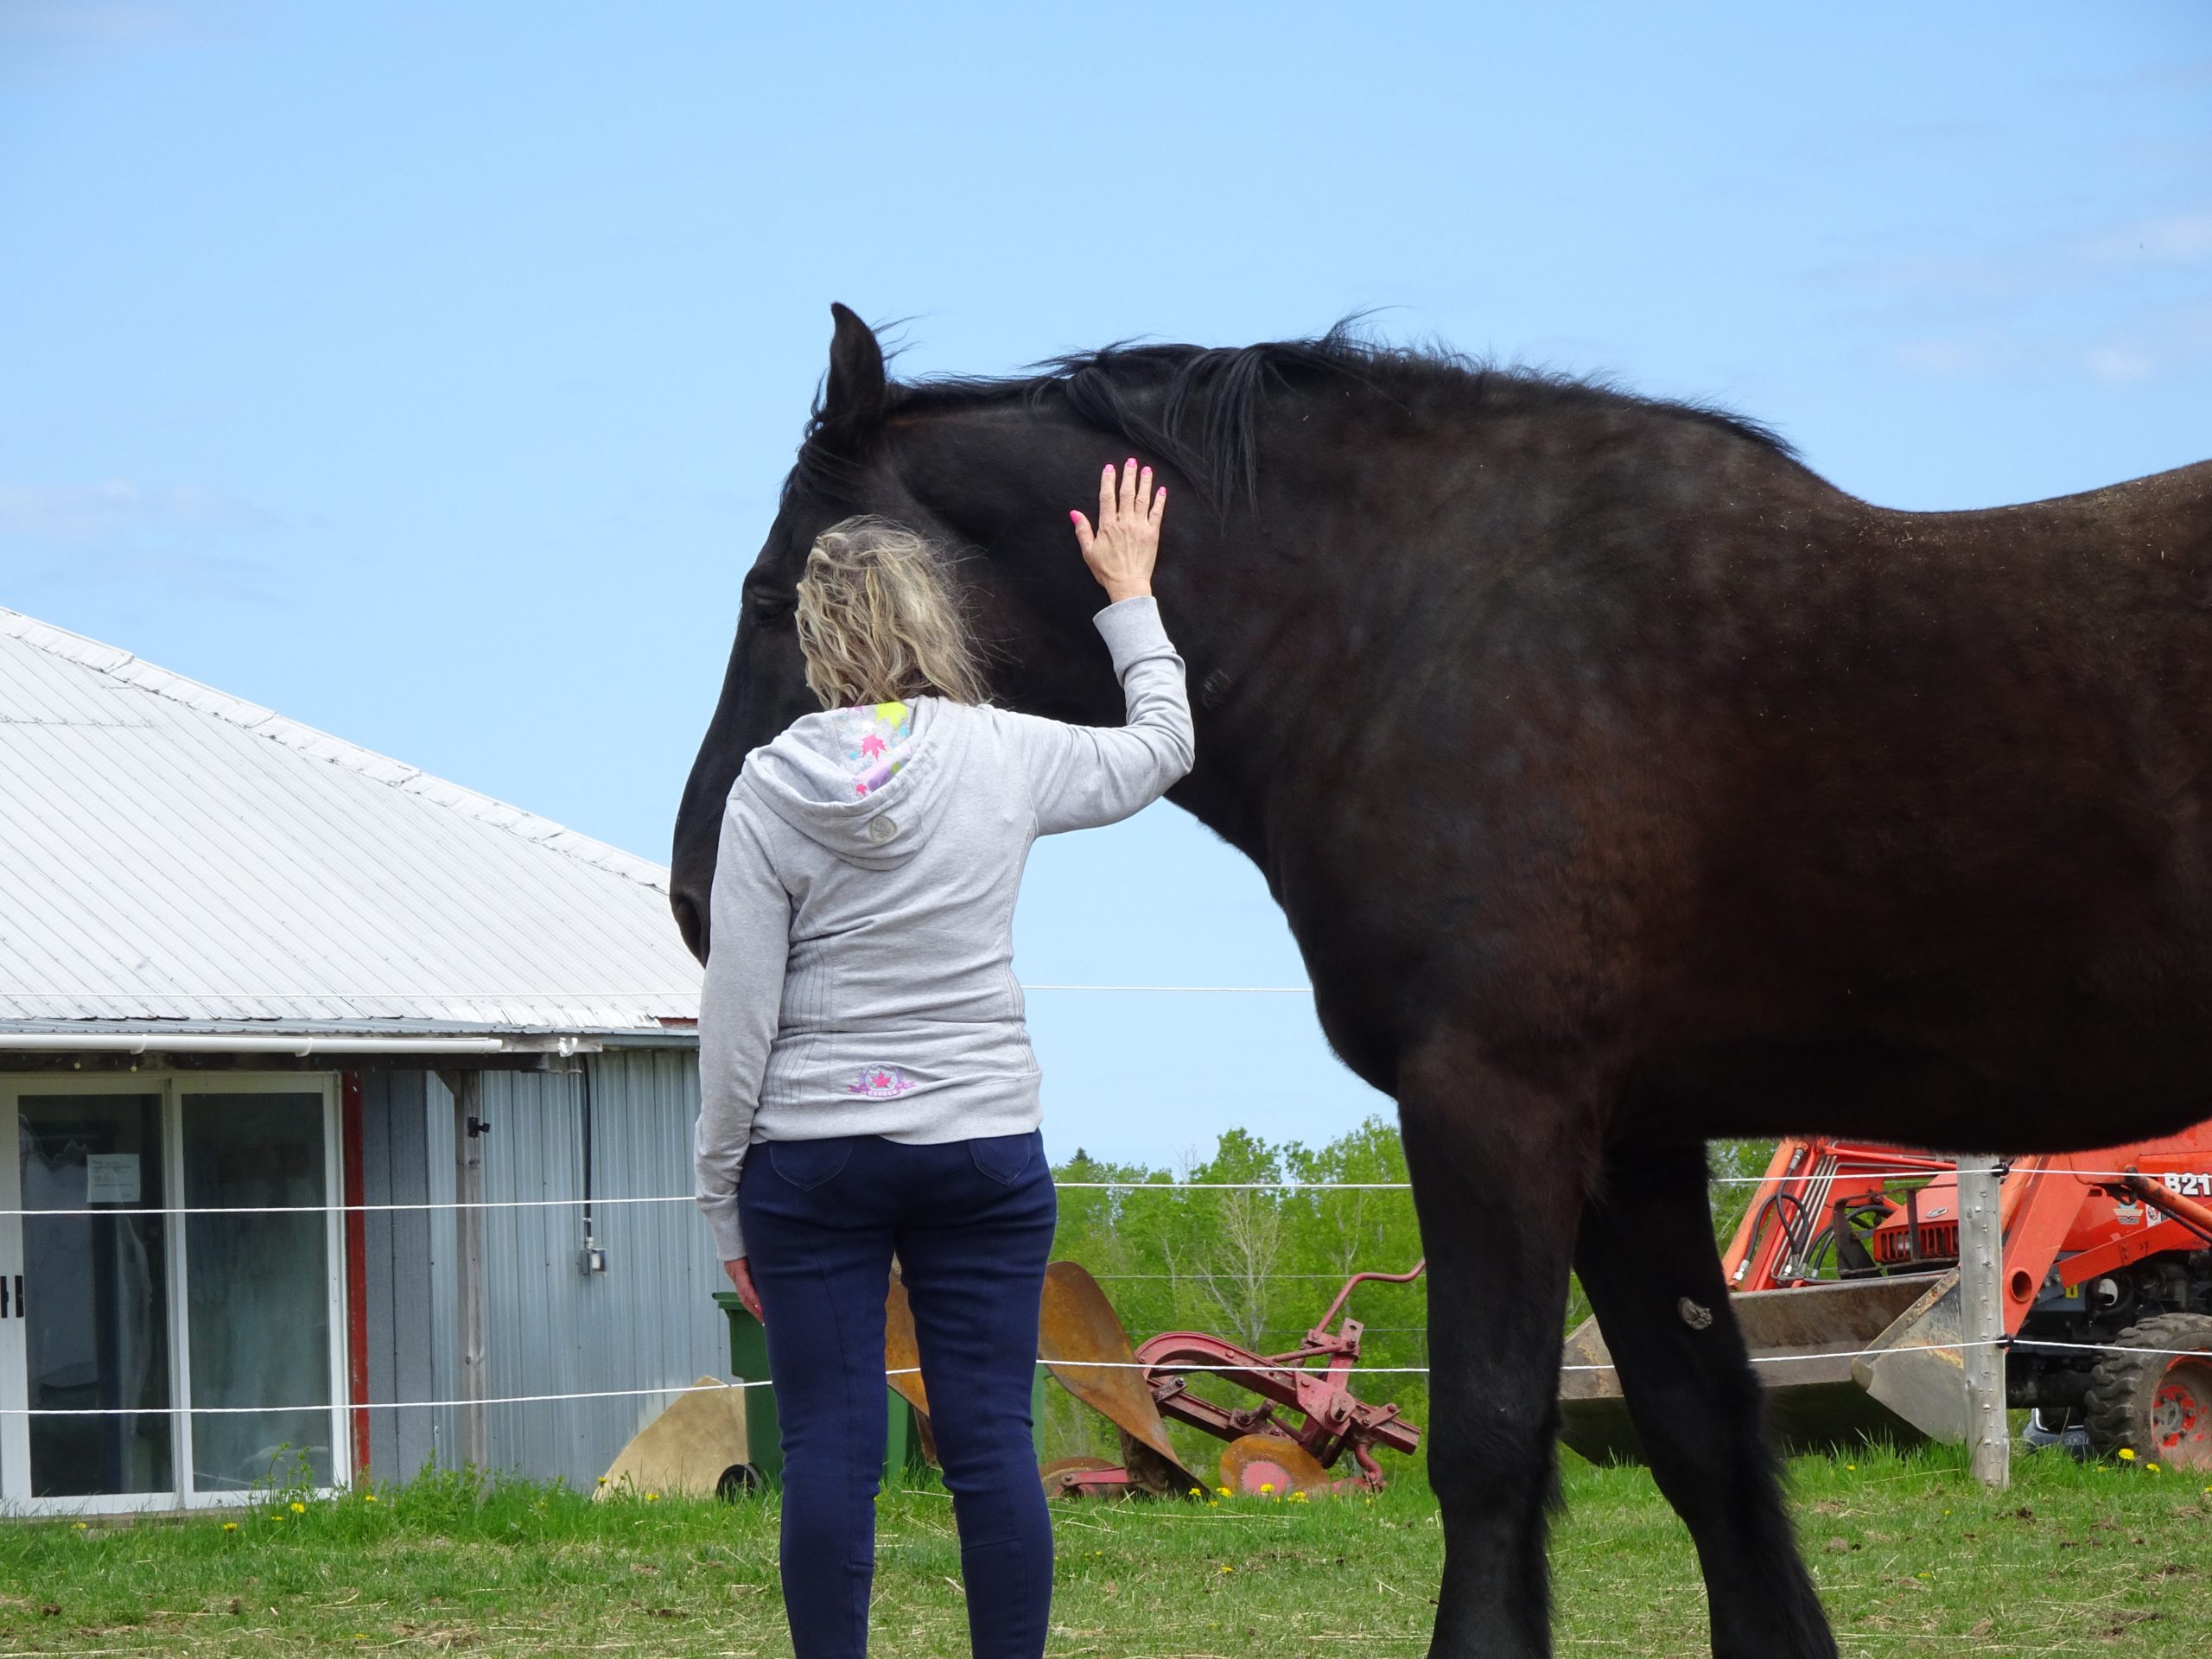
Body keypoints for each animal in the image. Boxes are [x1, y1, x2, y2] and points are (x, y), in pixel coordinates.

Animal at [671, 303, 2212, 1659]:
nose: (700, 894)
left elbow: (1484, 1442)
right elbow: (1706, 1436)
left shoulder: (1494, 1108)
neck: (1414, 639)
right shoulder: (1631, 1142)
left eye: (769, 597)